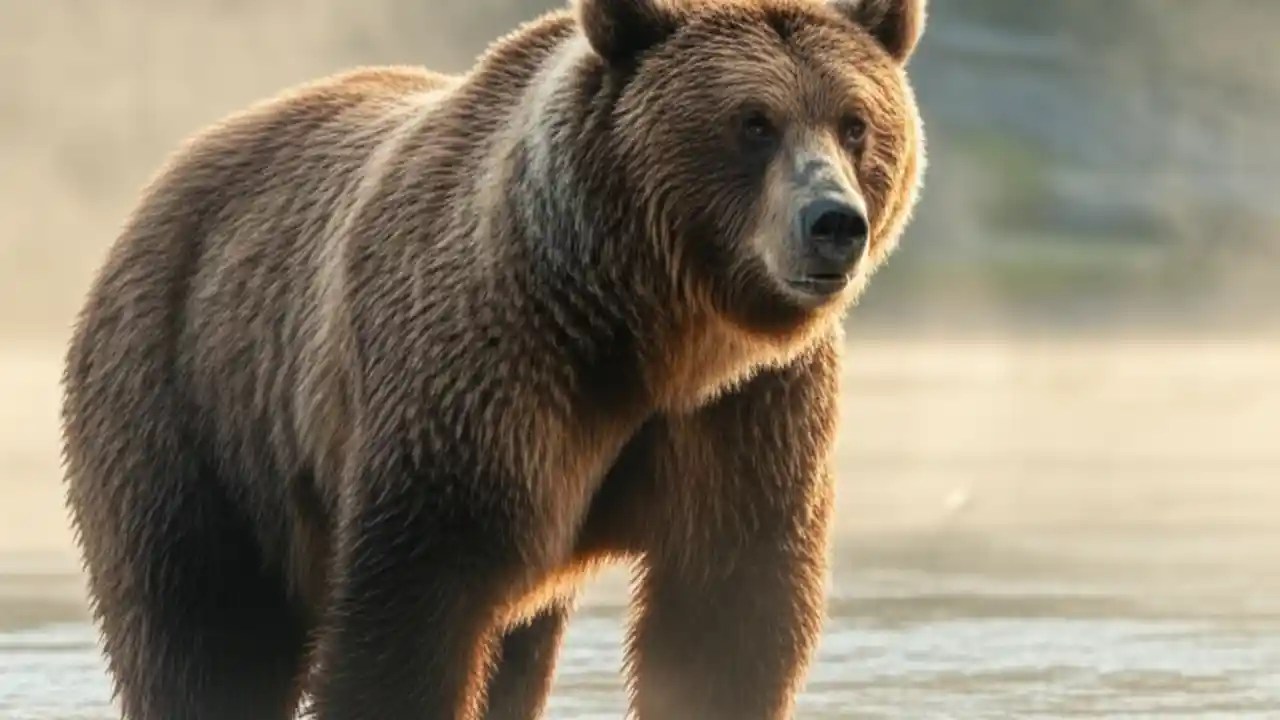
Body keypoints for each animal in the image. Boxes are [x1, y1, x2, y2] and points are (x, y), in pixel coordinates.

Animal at [60, 0, 927, 718]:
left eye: (854, 122)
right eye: (753, 122)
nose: (833, 223)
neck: (645, 325)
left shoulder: (746, 410)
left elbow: (727, 618)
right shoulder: (481, 384)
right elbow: (408, 615)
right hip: (189, 401)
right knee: (201, 627)